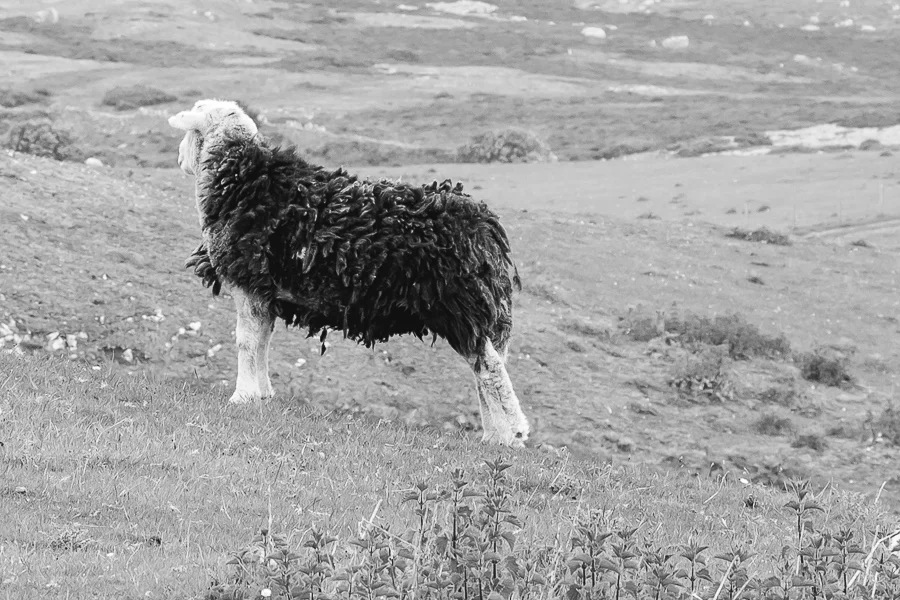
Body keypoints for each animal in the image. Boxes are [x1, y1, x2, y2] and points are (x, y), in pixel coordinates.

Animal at [168, 99, 530, 446]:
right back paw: (493, 435)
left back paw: (512, 434)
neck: (243, 182)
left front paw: (242, 396)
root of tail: (482, 223)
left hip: (459, 302)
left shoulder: (248, 282)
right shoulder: (266, 293)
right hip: (472, 308)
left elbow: (246, 341)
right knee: (485, 365)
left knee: (490, 368)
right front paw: (263, 394)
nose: (179, 159)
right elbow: (262, 342)